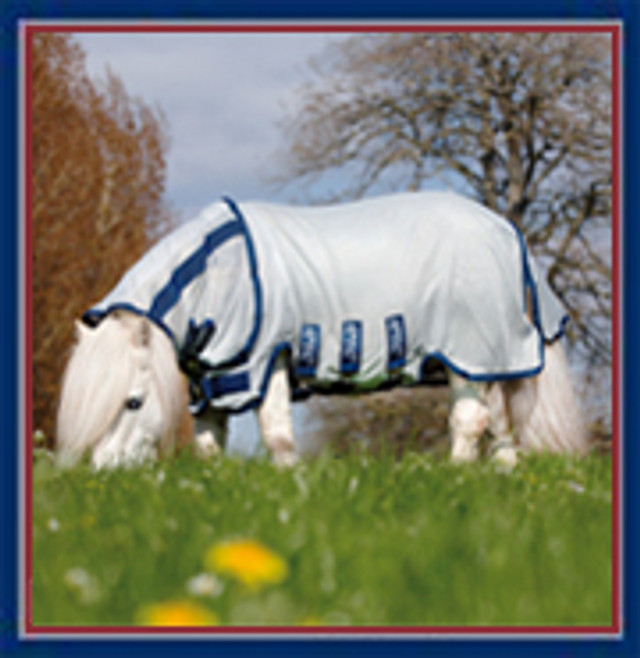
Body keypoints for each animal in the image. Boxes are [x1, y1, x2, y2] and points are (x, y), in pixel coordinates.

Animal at [56, 191, 587, 470]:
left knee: (470, 421)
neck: (219, 269)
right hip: (484, 363)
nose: (104, 477)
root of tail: (505, 230)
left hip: (466, 355)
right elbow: (209, 445)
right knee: (498, 424)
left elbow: (276, 435)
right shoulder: (215, 381)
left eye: (133, 402)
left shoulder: (267, 361)